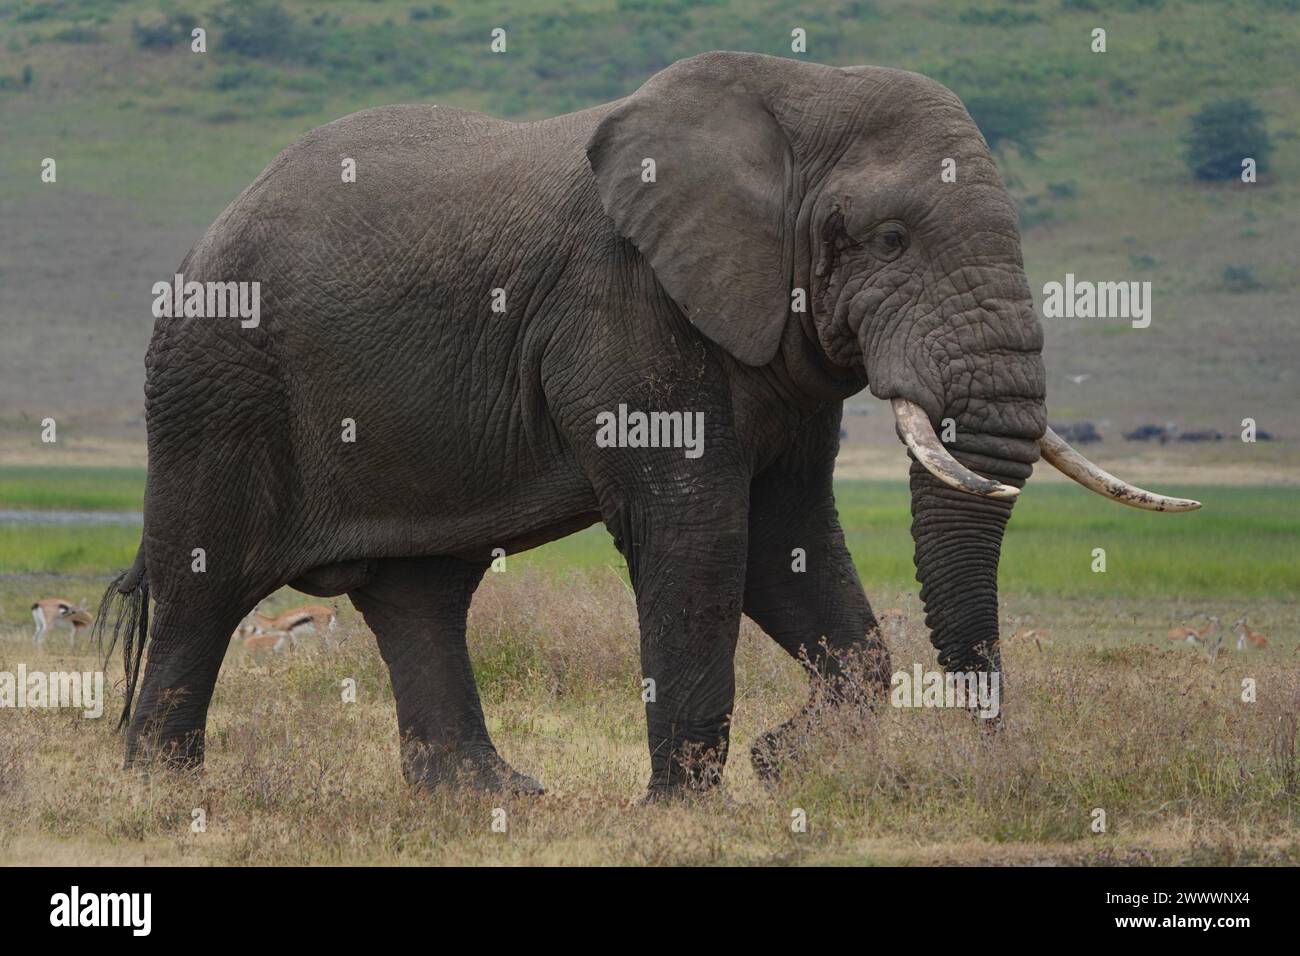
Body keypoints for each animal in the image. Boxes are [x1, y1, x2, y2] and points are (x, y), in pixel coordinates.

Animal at [98, 51, 1198, 799]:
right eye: (889, 238)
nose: (989, 752)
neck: (797, 98)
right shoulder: (623, 301)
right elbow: (696, 532)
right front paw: (689, 806)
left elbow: (786, 539)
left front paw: (781, 766)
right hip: (214, 383)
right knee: (204, 585)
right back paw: (165, 794)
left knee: (422, 593)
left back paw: (490, 799)